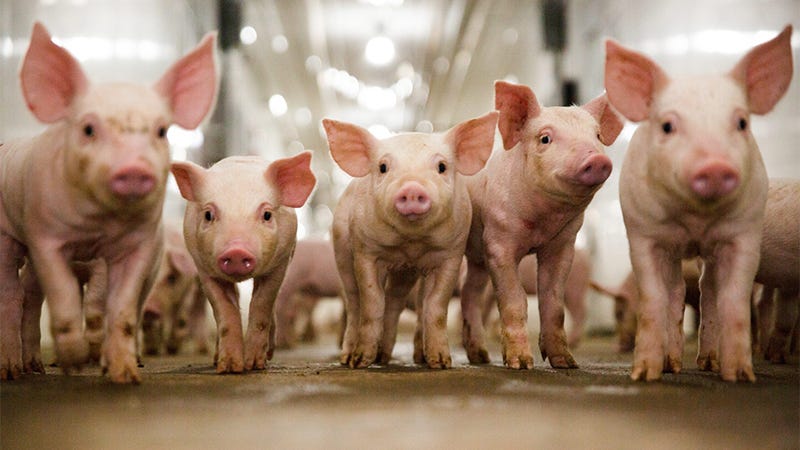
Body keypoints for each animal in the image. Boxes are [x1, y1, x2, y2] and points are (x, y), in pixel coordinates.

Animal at [141, 224, 209, 356]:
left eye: (171, 278)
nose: (150, 309)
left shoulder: (189, 286)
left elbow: (181, 317)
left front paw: (172, 349)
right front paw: (150, 351)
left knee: (199, 310)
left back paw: (202, 350)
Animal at [170, 152, 316, 373]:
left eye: (267, 215)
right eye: (208, 215)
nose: (236, 251)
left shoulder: (280, 263)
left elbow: (262, 304)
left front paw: (254, 365)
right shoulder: (203, 269)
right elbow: (225, 311)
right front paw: (230, 368)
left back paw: (269, 356)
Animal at [324, 112, 498, 369]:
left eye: (442, 167)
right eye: (383, 167)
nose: (413, 188)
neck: (411, 243)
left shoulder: (451, 254)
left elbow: (435, 305)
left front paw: (441, 363)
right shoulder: (366, 252)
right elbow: (372, 302)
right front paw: (361, 362)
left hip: (405, 274)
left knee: (394, 301)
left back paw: (385, 357)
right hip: (341, 252)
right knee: (354, 303)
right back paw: (348, 358)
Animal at [459, 81, 623, 370]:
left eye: (598, 135)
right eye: (545, 138)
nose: (597, 159)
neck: (541, 222)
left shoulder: (563, 244)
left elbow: (554, 304)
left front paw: (566, 363)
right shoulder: (497, 242)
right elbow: (515, 301)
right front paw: (520, 364)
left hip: (480, 260)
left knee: (470, 295)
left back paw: (480, 356)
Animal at [604, 26, 793, 382]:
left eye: (742, 123)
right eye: (667, 126)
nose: (715, 166)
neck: (696, 222)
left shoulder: (744, 234)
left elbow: (734, 300)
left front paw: (740, 376)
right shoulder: (643, 234)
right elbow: (653, 298)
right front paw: (644, 375)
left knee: (708, 292)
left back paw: (707, 363)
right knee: (677, 292)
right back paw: (672, 365)